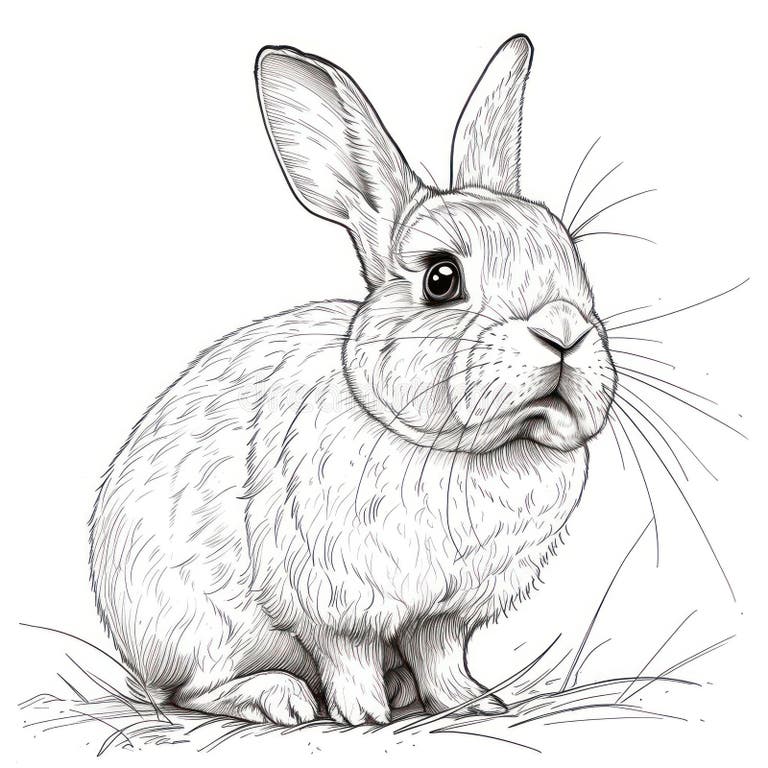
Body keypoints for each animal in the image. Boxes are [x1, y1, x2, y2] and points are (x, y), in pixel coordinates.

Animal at [89, 34, 617, 726]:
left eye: (572, 259)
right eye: (441, 278)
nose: (563, 331)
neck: (456, 448)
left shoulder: (443, 612)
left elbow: (441, 654)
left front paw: (475, 704)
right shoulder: (331, 600)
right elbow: (348, 654)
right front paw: (364, 714)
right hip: (196, 626)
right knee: (187, 691)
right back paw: (283, 698)